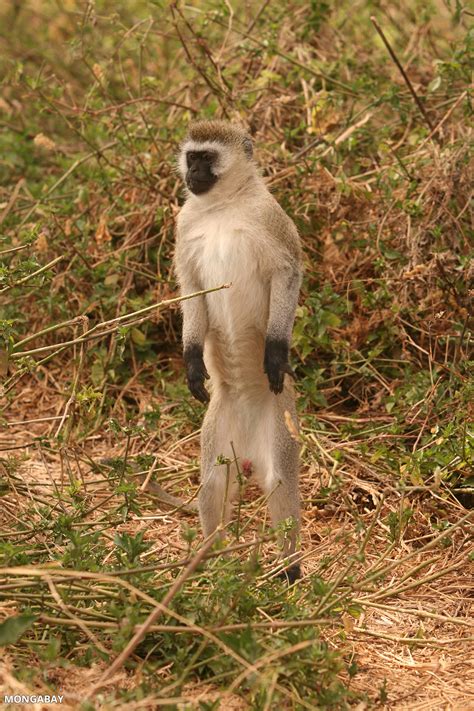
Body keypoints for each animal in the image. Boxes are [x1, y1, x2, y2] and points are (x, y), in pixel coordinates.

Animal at [174, 120, 303, 583]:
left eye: (207, 158)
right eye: (191, 156)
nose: (192, 174)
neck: (221, 209)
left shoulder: (270, 218)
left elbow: (288, 271)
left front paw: (275, 354)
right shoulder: (185, 224)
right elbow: (191, 287)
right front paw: (193, 363)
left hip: (281, 425)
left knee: (280, 483)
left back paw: (290, 571)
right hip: (219, 432)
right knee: (213, 484)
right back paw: (211, 561)